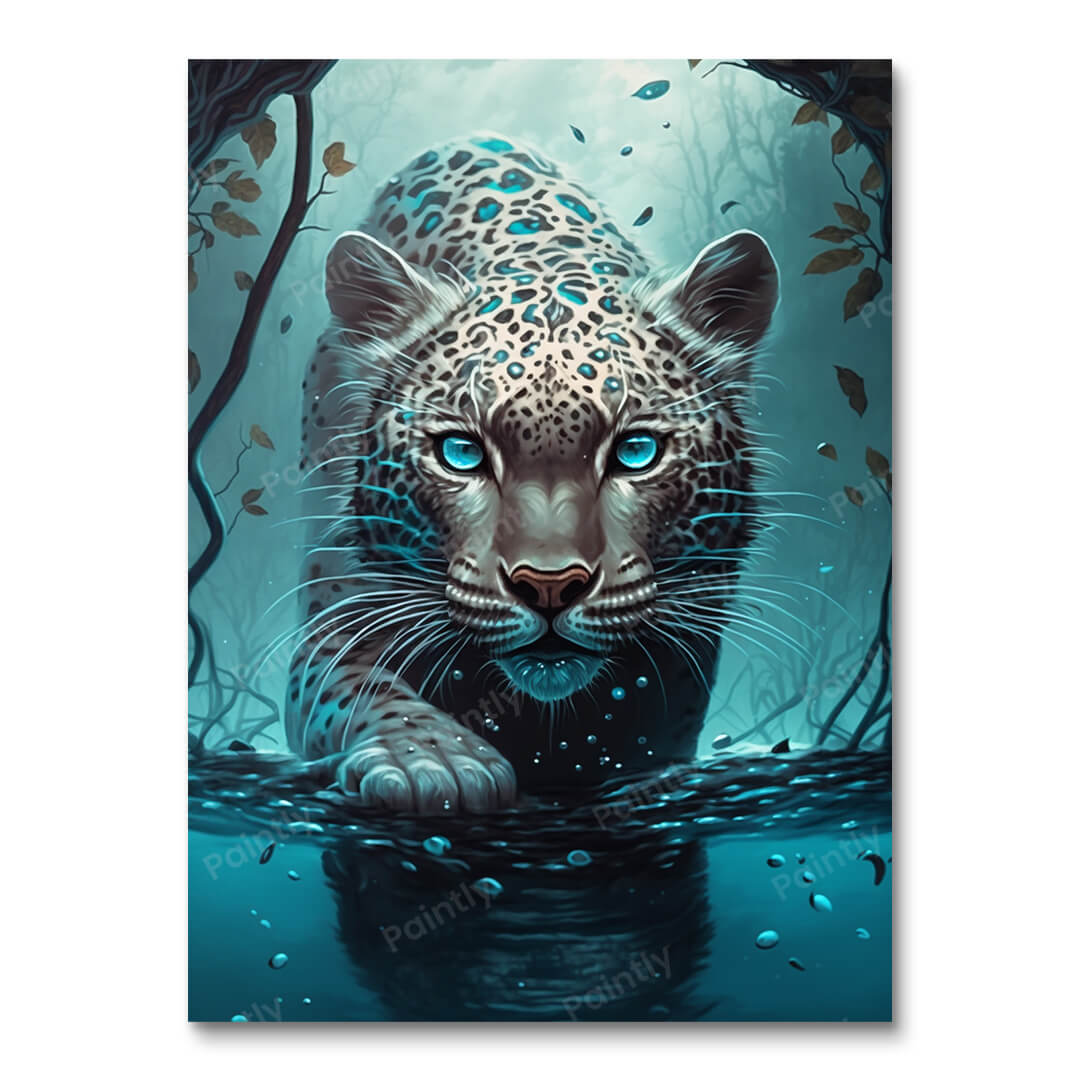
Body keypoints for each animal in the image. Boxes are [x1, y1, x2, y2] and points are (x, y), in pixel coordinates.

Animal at [284, 132, 779, 813]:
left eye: (636, 451)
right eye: (461, 453)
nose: (549, 587)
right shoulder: (336, 620)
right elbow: (362, 687)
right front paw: (431, 762)